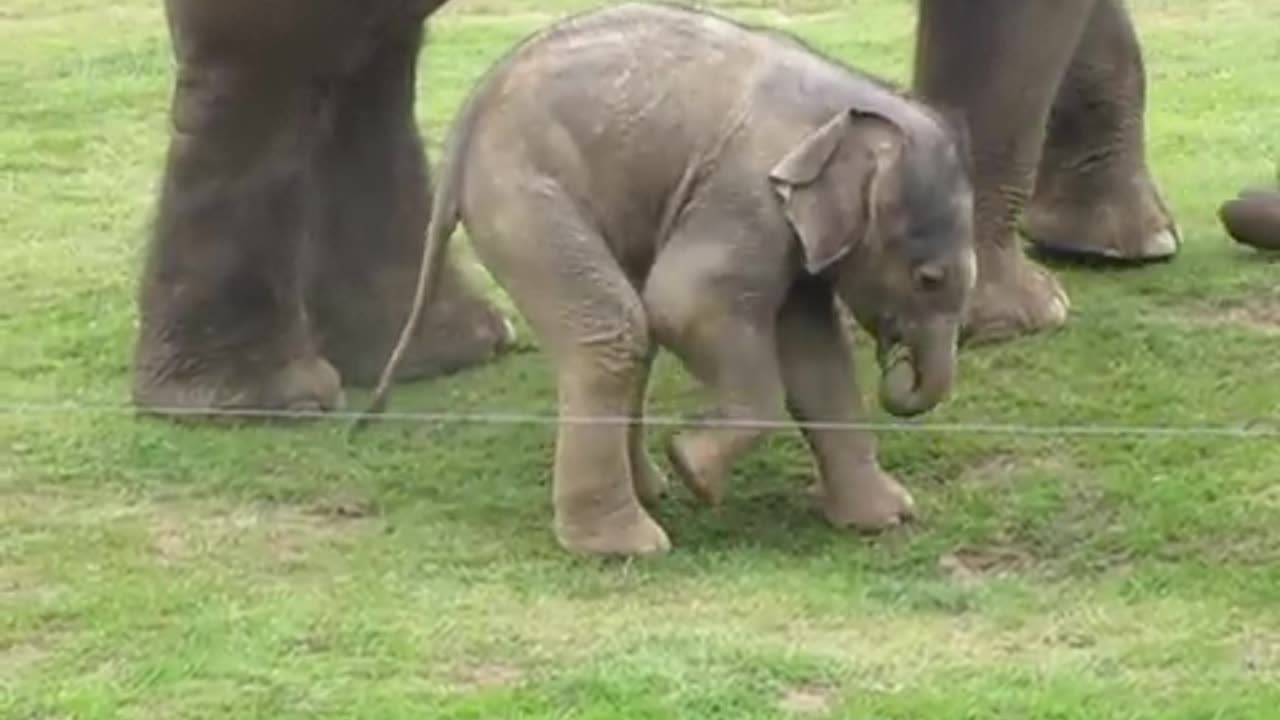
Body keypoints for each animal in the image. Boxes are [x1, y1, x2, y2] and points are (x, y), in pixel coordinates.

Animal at [354, 3, 978, 556]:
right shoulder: (744, 193)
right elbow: (686, 304)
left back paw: (650, 495)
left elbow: (816, 354)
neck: (850, 105)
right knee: (617, 328)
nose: (899, 372)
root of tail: (469, 120)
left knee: (634, 336)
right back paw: (627, 545)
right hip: (523, 193)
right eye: (928, 278)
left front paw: (889, 517)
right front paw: (694, 471)